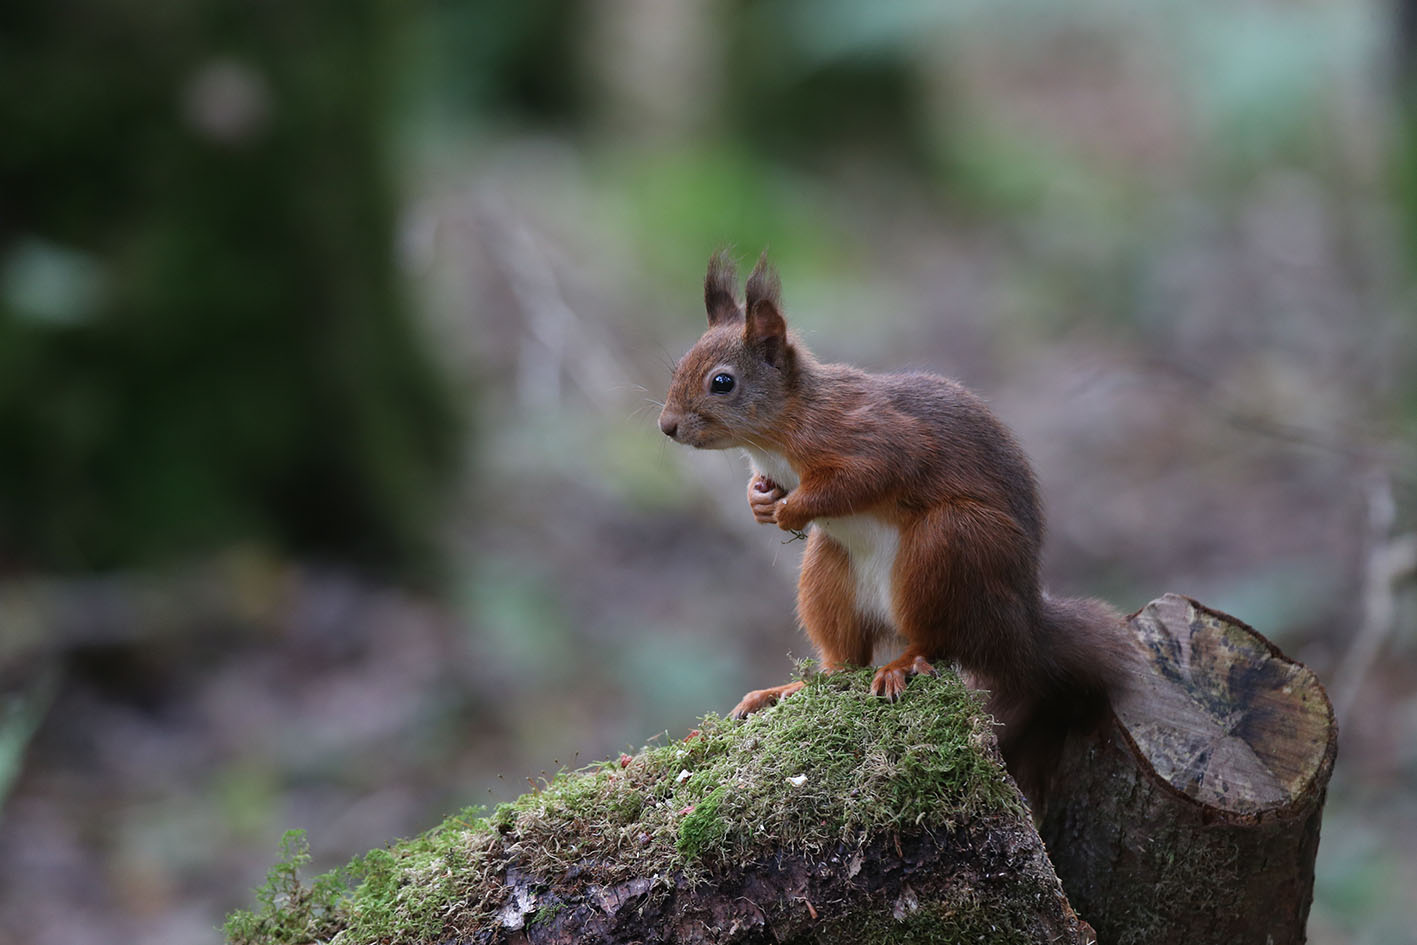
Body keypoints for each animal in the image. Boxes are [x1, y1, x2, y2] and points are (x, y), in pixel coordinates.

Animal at [657, 250, 1136, 797]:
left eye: (722, 382)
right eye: (681, 366)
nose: (667, 426)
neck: (779, 430)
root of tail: (1023, 627)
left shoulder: (874, 438)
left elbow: (863, 477)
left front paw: (792, 510)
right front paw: (760, 501)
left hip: (949, 544)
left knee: (940, 641)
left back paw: (901, 666)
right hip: (829, 575)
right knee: (843, 660)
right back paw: (789, 688)